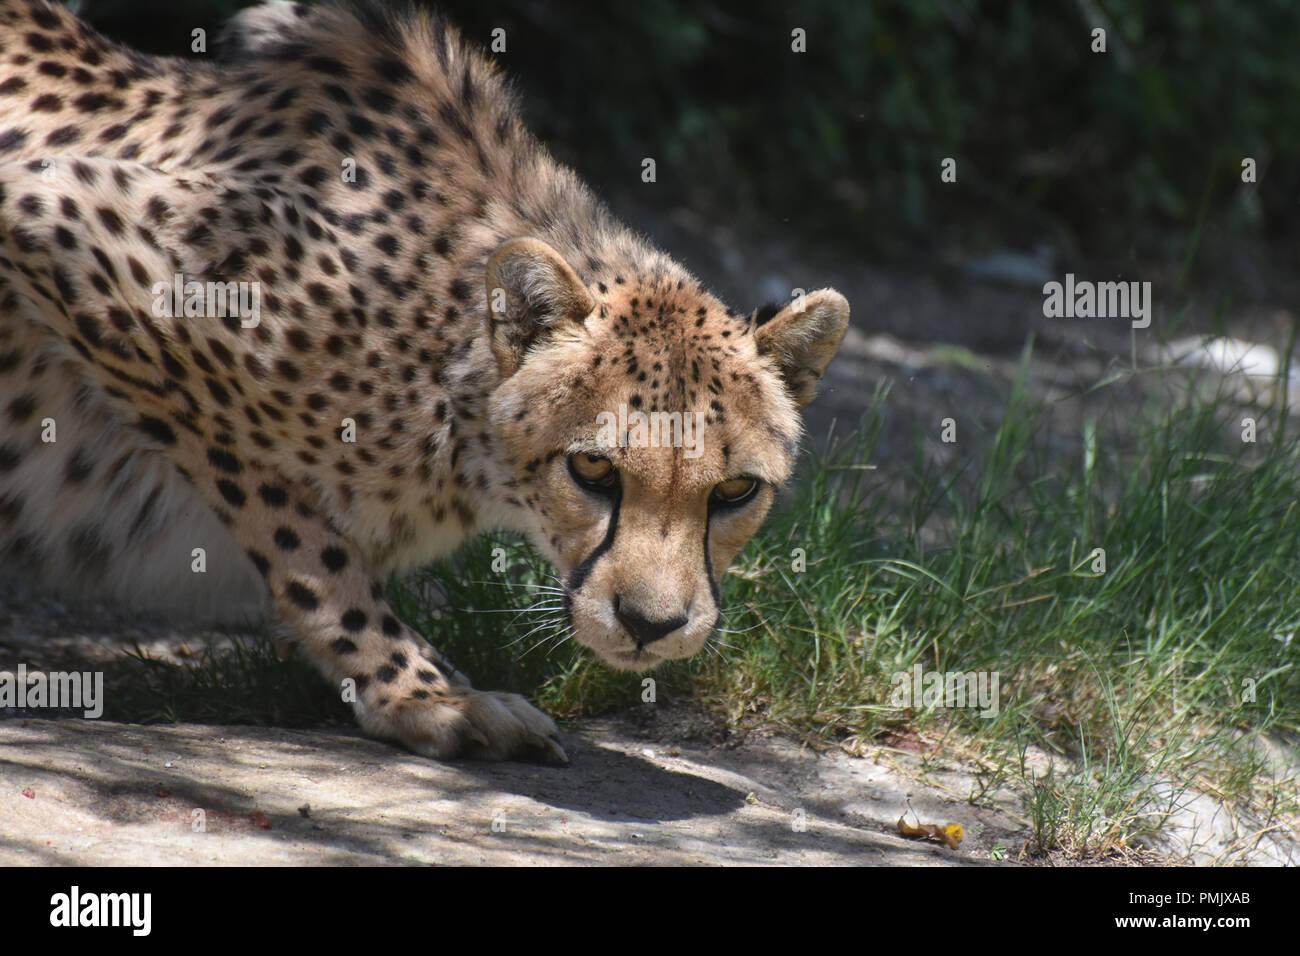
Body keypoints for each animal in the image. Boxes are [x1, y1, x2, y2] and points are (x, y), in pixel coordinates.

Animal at [0, 0, 849, 762]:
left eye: (736, 491)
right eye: (593, 469)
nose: (650, 625)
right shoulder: (55, 213)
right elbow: (299, 534)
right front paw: (421, 693)